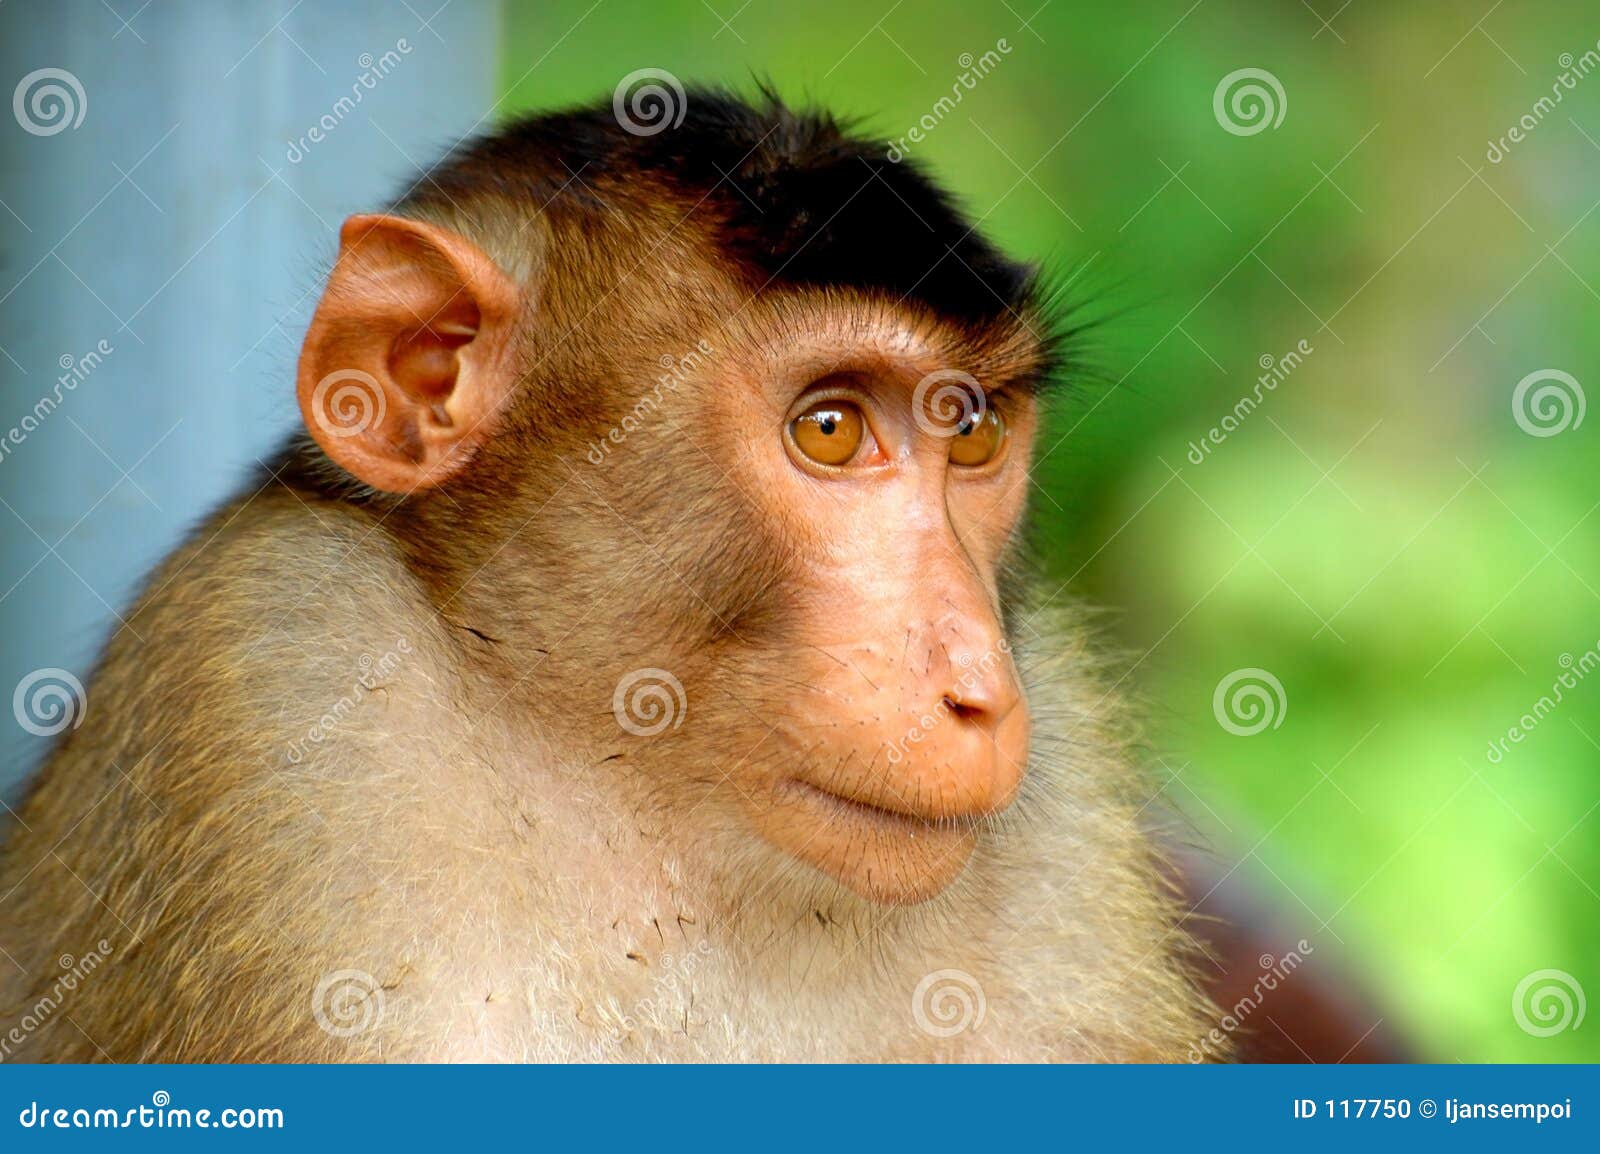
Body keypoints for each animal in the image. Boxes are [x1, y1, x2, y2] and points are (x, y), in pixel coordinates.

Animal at [0, 88, 1216, 1062]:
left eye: (973, 433)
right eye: (829, 430)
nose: (979, 685)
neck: (633, 796)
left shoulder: (1068, 842)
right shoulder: (277, 683)